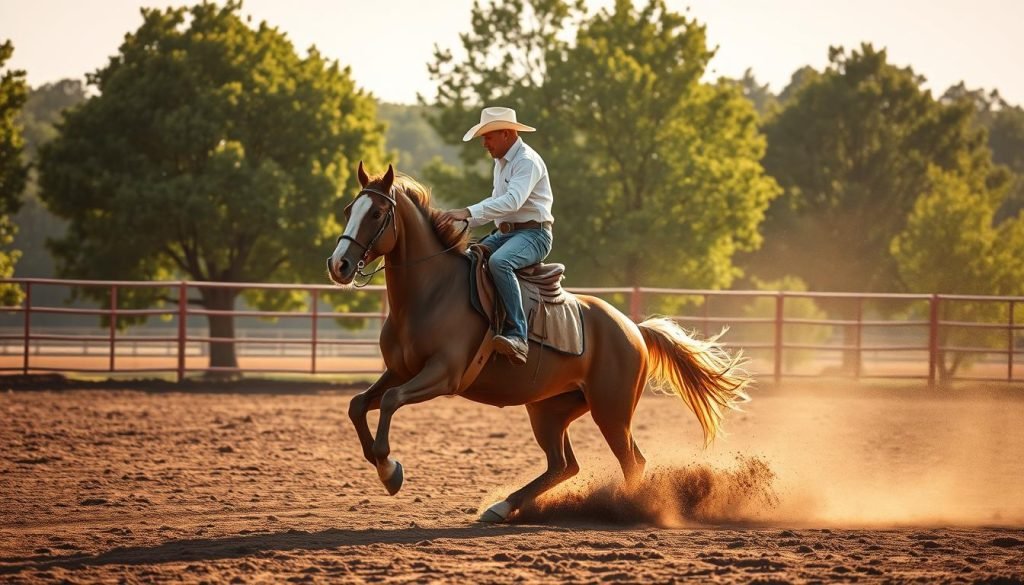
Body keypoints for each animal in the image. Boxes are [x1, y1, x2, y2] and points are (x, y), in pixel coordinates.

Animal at [326, 163, 751, 522]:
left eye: (376, 214)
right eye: (349, 209)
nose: (338, 265)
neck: (431, 292)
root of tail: (632, 328)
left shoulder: (442, 376)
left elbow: (391, 401)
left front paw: (390, 471)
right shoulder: (400, 370)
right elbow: (358, 404)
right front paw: (382, 465)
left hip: (611, 412)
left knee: (632, 462)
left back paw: (630, 509)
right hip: (549, 410)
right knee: (564, 465)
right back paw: (502, 507)